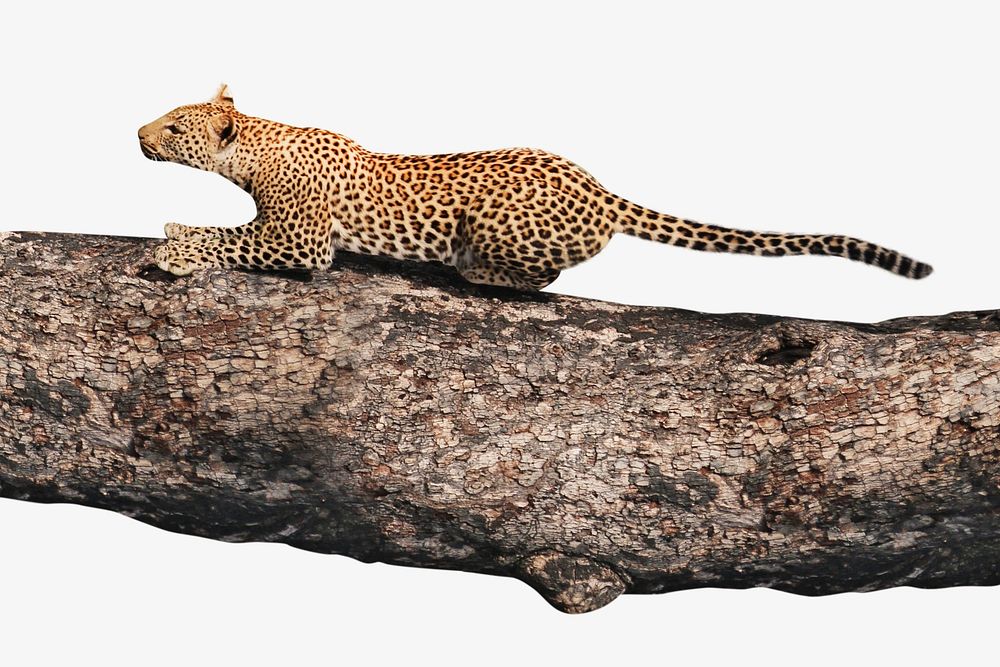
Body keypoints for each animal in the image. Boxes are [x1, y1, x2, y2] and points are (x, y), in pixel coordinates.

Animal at [139, 85, 933, 289]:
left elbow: (234, 238)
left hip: (496, 224)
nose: (138, 135)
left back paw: (479, 272)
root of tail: (602, 190)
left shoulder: (299, 238)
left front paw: (177, 245)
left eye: (174, 128)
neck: (259, 142)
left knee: (542, 275)